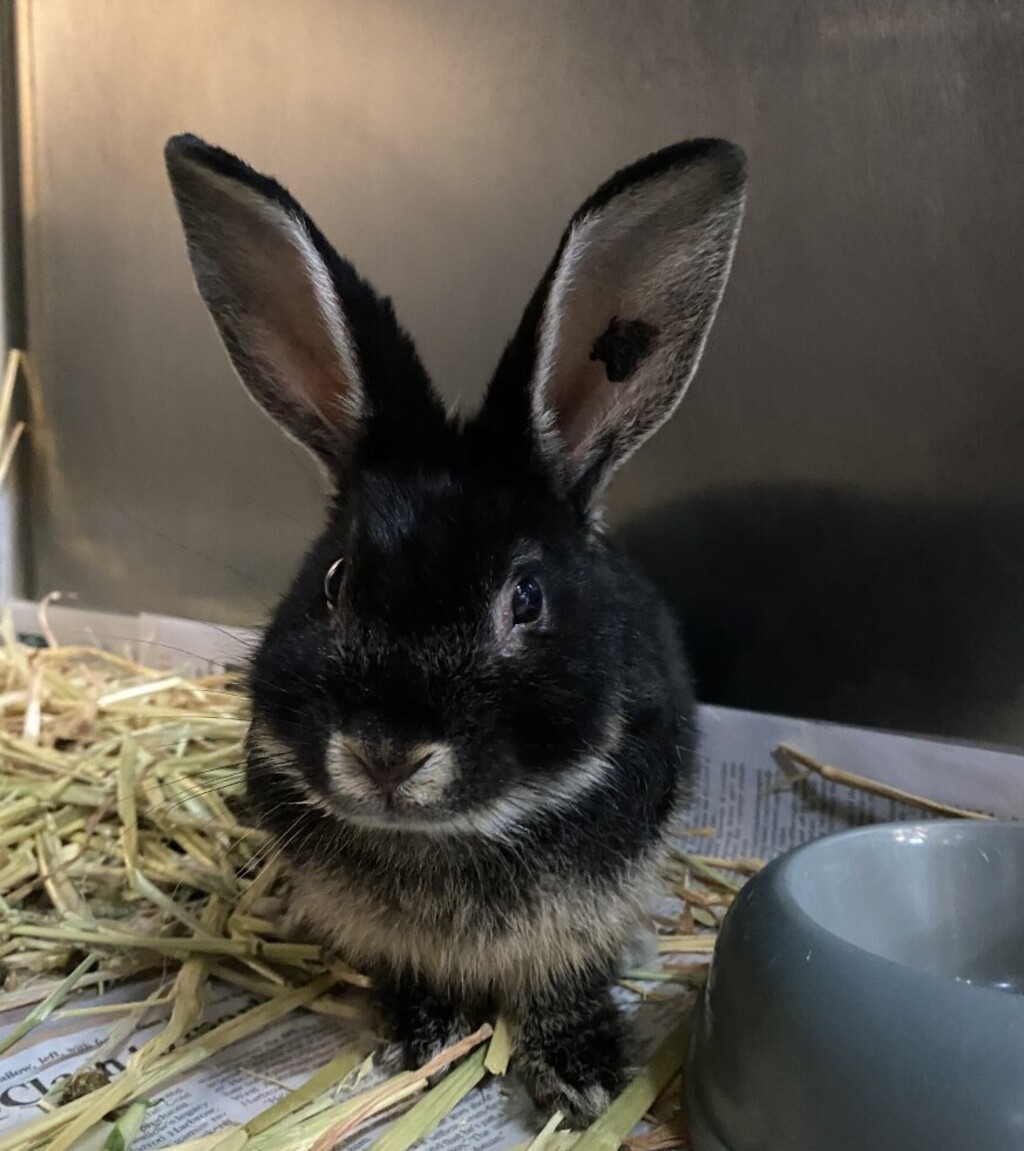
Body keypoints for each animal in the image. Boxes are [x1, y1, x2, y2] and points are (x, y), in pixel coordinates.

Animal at [164, 132, 745, 1125]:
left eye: (527, 599)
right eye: (335, 580)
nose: (387, 754)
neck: (446, 840)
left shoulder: (583, 916)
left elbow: (564, 983)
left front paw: (586, 1071)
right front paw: (420, 1035)